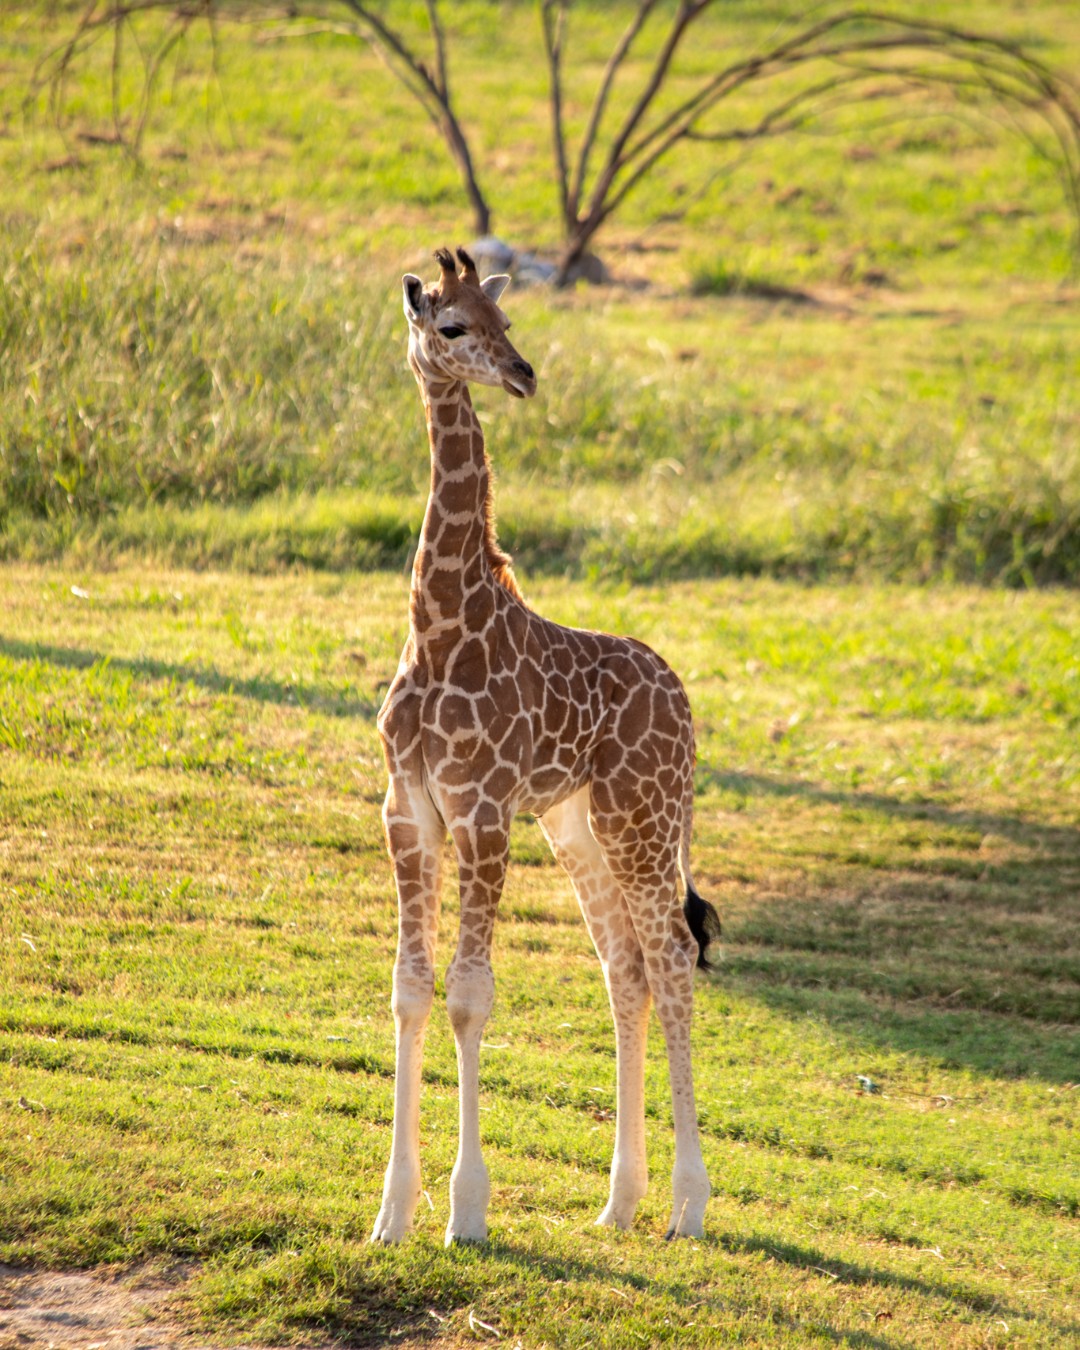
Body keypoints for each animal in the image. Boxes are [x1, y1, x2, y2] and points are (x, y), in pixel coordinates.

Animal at [370, 247, 721, 1247]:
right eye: (451, 325)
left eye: (507, 321)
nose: (523, 375)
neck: (443, 627)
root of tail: (683, 700)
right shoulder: (408, 812)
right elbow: (410, 990)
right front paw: (391, 1214)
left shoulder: (484, 814)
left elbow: (468, 994)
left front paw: (466, 1213)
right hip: (576, 823)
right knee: (625, 967)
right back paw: (619, 1203)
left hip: (644, 818)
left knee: (672, 959)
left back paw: (687, 1205)